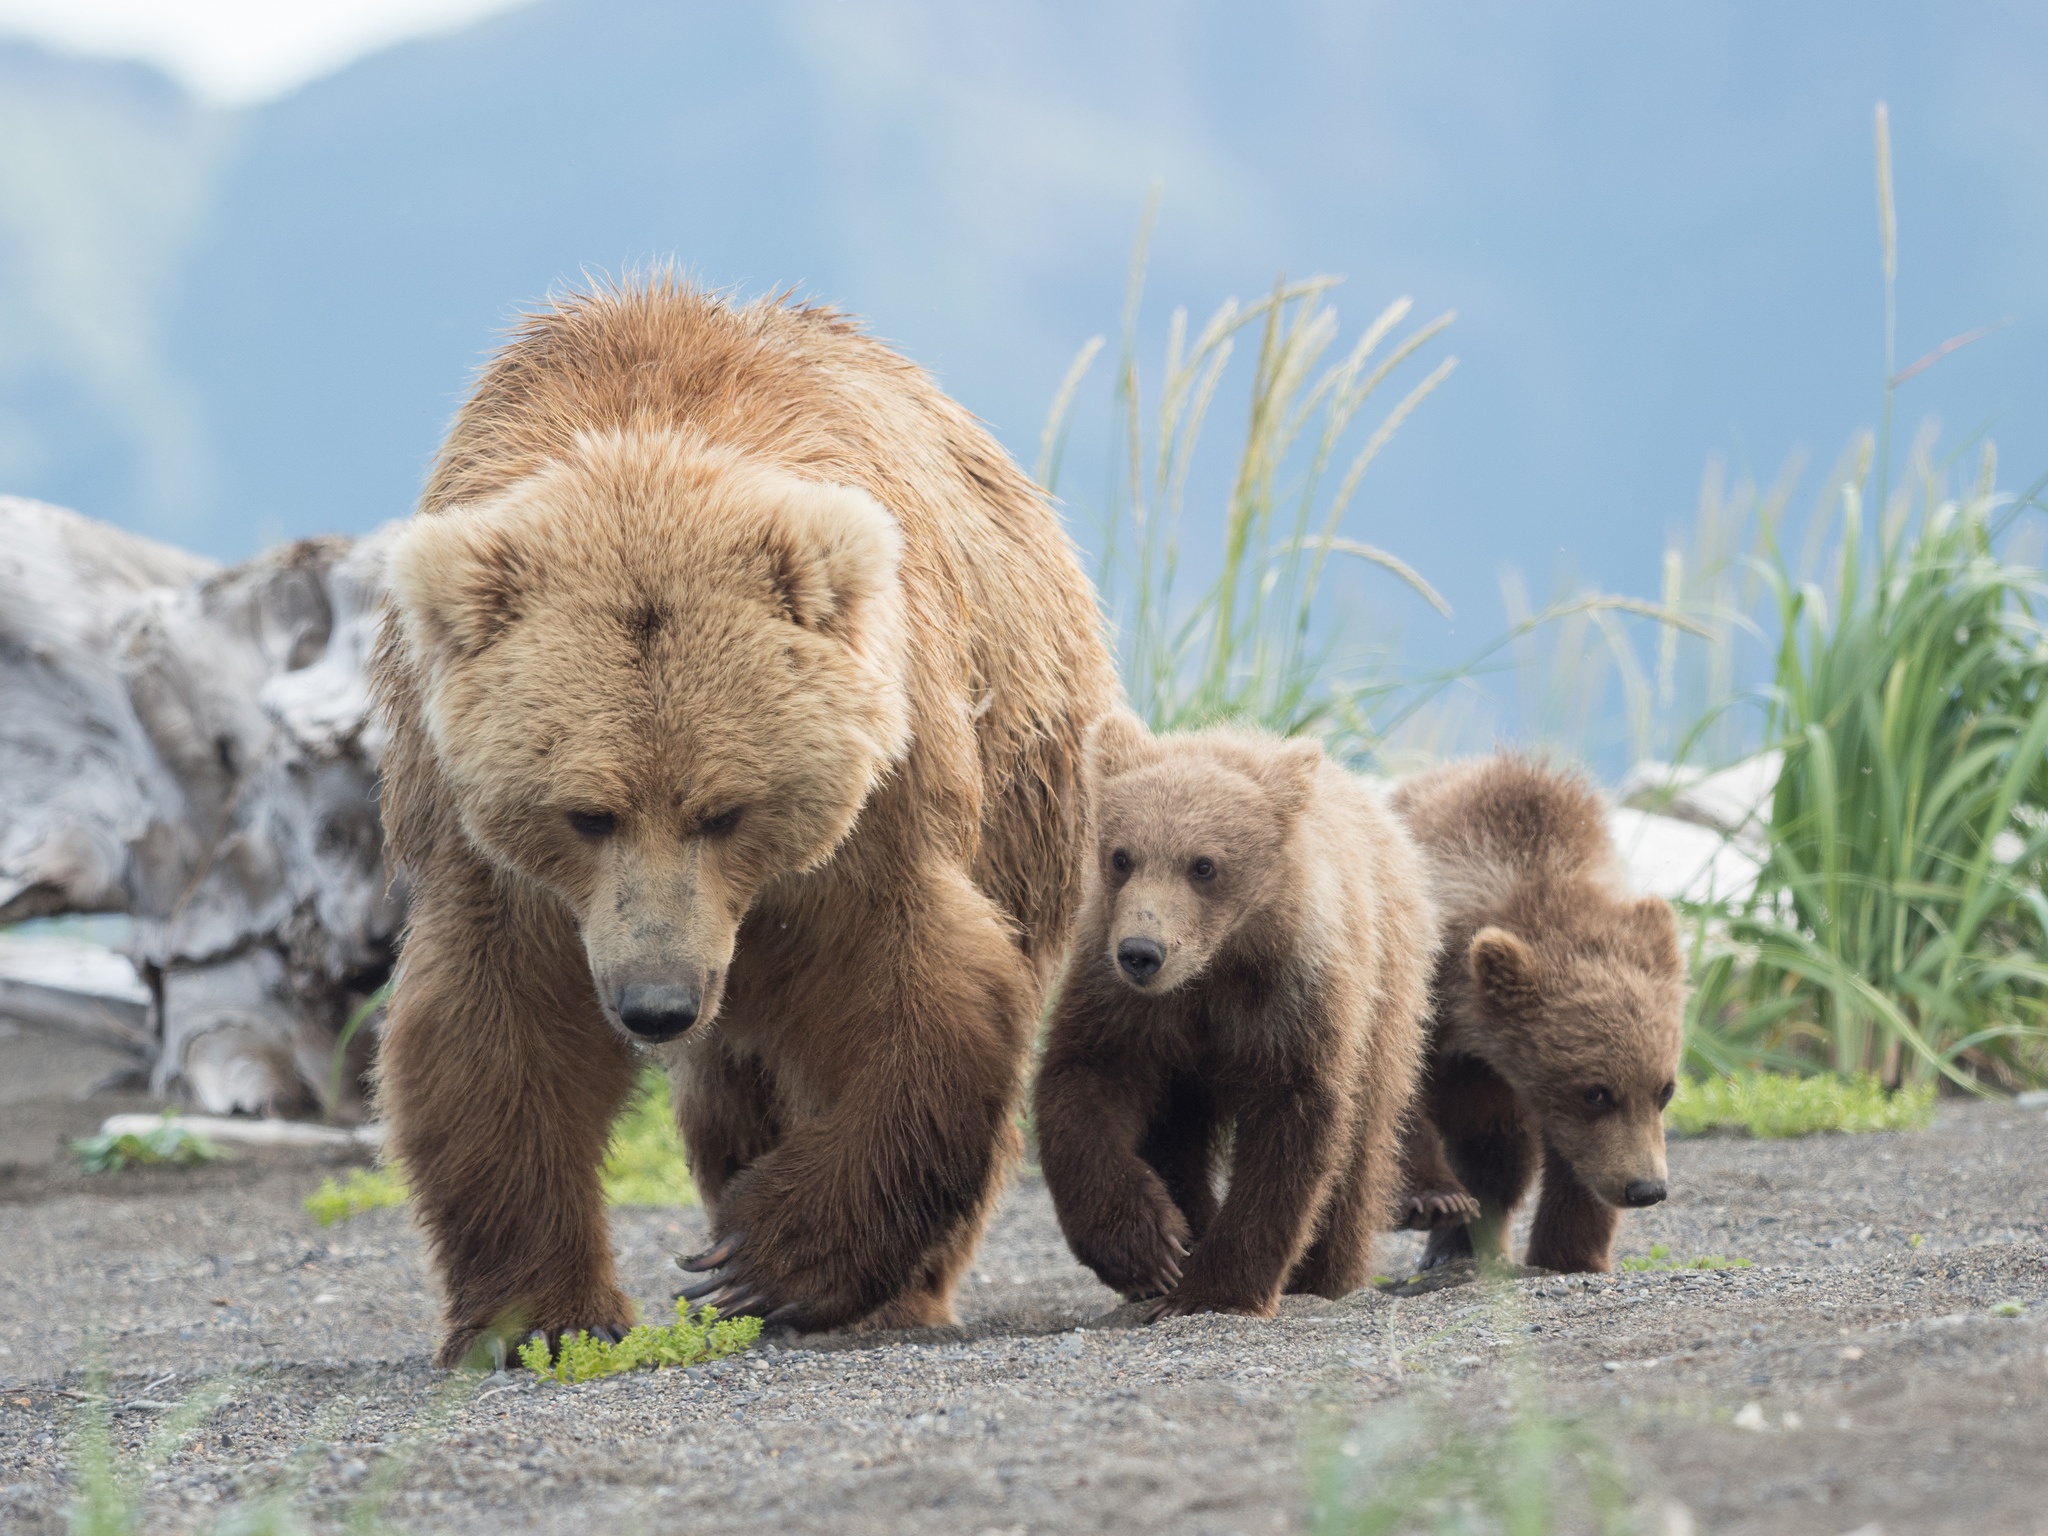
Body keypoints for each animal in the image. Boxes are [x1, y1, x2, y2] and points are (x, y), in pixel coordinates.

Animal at [373, 279, 1119, 1365]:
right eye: (587, 813)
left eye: (724, 810)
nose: (656, 1004)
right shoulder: (486, 846)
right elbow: (498, 1029)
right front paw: (543, 1313)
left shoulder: (877, 792)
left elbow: (911, 992)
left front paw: (762, 1259)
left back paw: (895, 1290)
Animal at [1032, 714, 1437, 1319]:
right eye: (1122, 856)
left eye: (1204, 865)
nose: (1142, 952)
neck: (1215, 969)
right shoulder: (1122, 1002)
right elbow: (1083, 1085)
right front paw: (1152, 1249)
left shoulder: (1293, 999)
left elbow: (1292, 1124)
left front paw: (1213, 1290)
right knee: (1174, 1136)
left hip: (1386, 998)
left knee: (1360, 1150)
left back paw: (1326, 1272)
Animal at [1388, 754, 1686, 1275]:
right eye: (1596, 1092)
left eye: (1665, 1090)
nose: (1646, 1189)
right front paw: (1435, 1200)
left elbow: (1566, 1162)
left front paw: (1572, 1252)